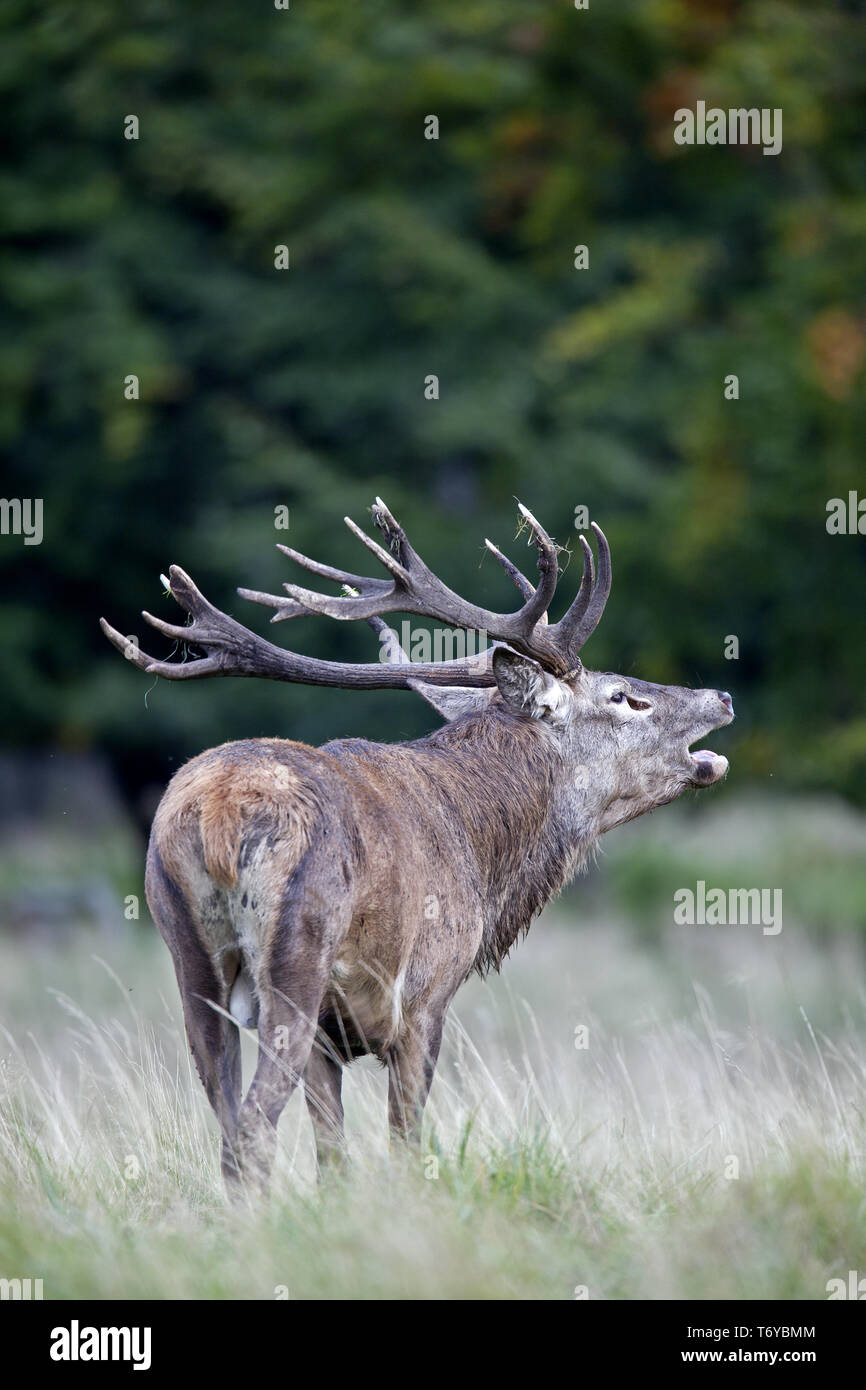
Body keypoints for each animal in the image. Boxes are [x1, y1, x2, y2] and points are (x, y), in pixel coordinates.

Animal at [101, 499, 733, 1192]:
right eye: (624, 697)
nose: (722, 696)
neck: (485, 855)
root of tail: (216, 814)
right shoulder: (424, 1002)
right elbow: (405, 1145)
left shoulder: (331, 1036)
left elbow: (334, 1159)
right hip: (294, 960)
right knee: (253, 1126)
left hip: (188, 955)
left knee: (225, 1123)